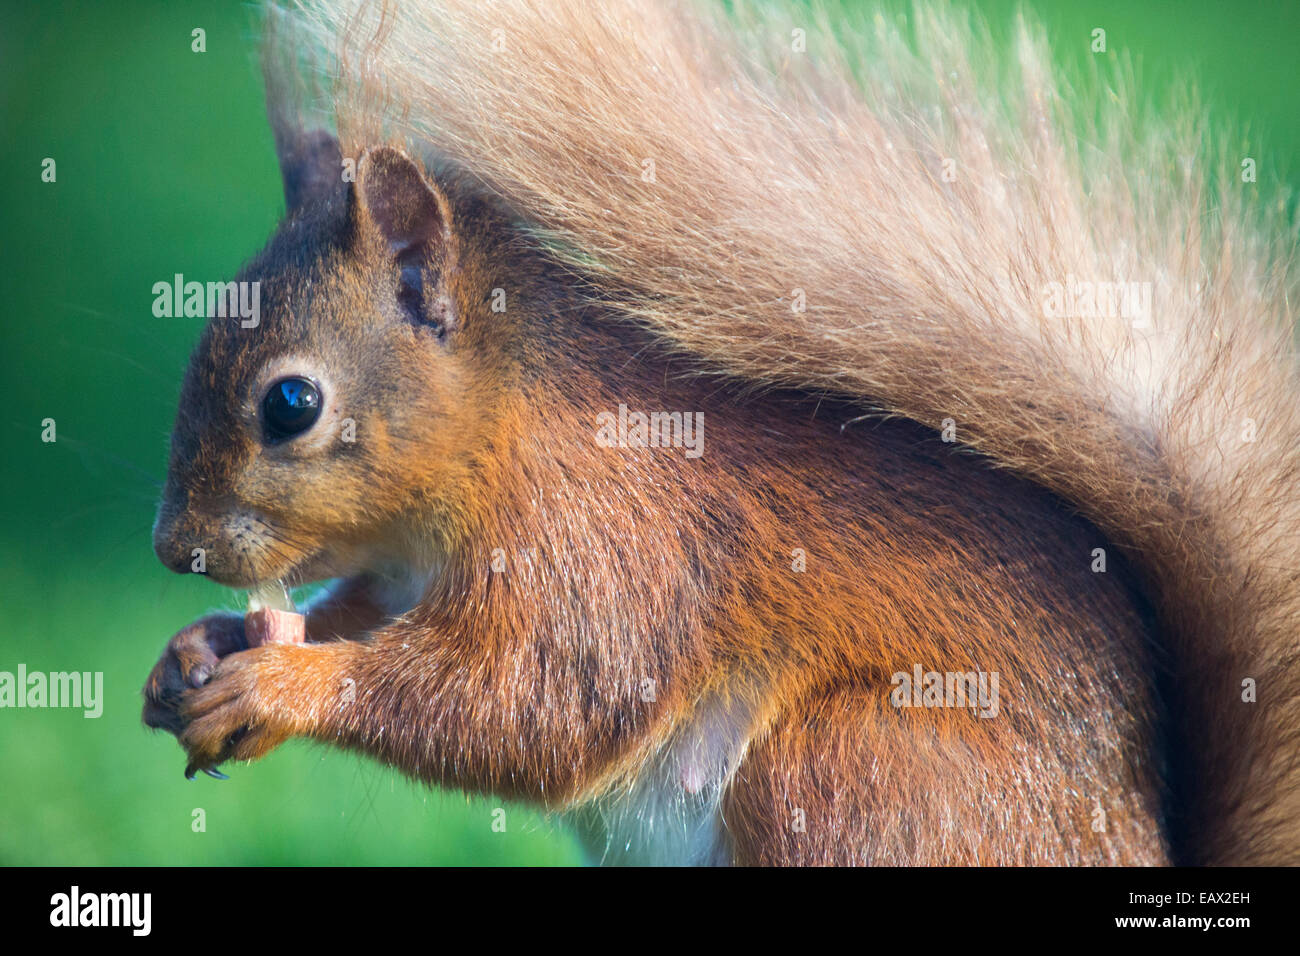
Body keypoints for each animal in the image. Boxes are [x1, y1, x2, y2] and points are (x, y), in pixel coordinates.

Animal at [142, 0, 1300, 866]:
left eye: (291, 405)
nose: (173, 548)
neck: (502, 434)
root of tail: (1135, 841)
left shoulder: (608, 538)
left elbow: (532, 701)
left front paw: (281, 686)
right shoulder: (404, 568)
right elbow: (369, 615)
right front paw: (201, 650)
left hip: (858, 771)